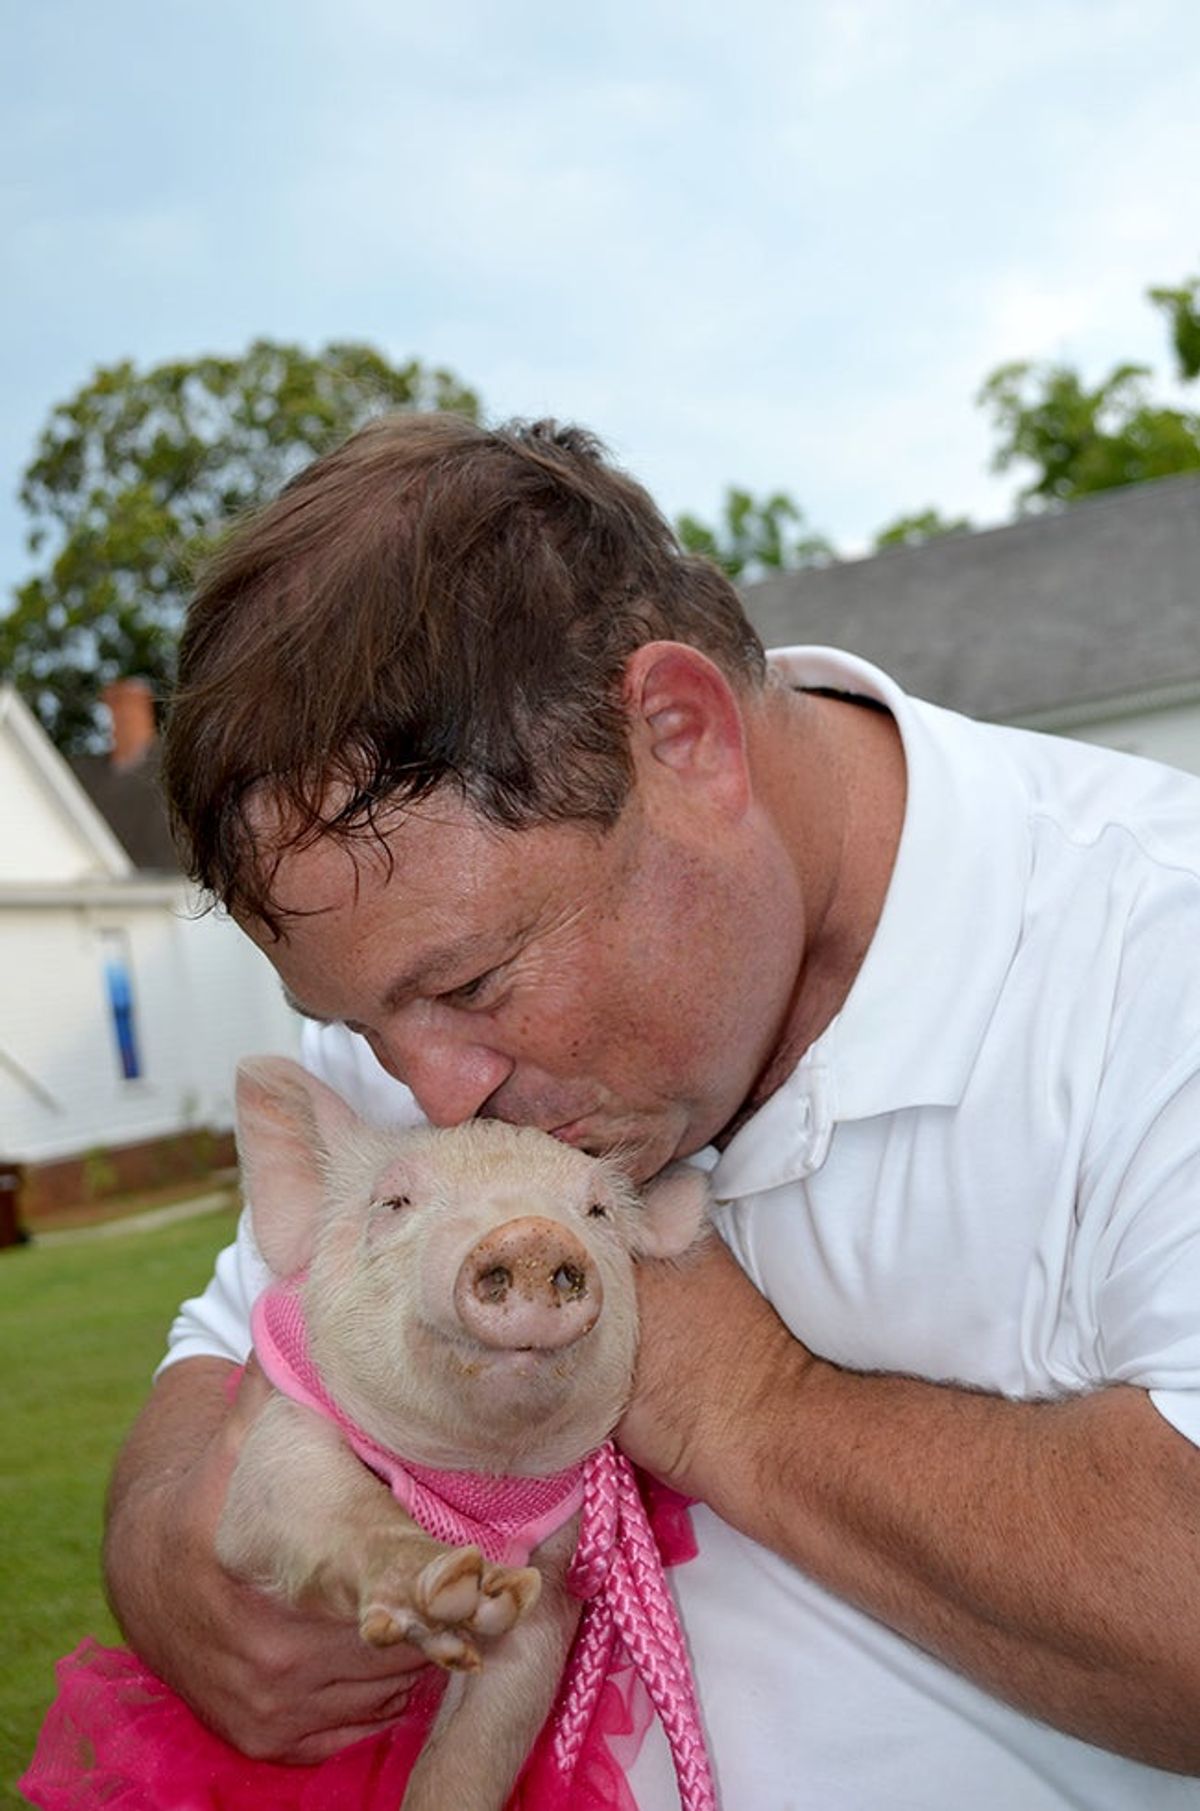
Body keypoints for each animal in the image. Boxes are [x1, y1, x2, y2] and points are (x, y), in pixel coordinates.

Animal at [216, 1055, 712, 1811]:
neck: (477, 1471)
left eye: (597, 1211)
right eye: (393, 1202)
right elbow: (304, 1497)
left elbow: (481, 1744)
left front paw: (484, 1599)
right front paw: (454, 1586)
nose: (531, 1234)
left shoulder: (554, 1577)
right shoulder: (278, 1437)